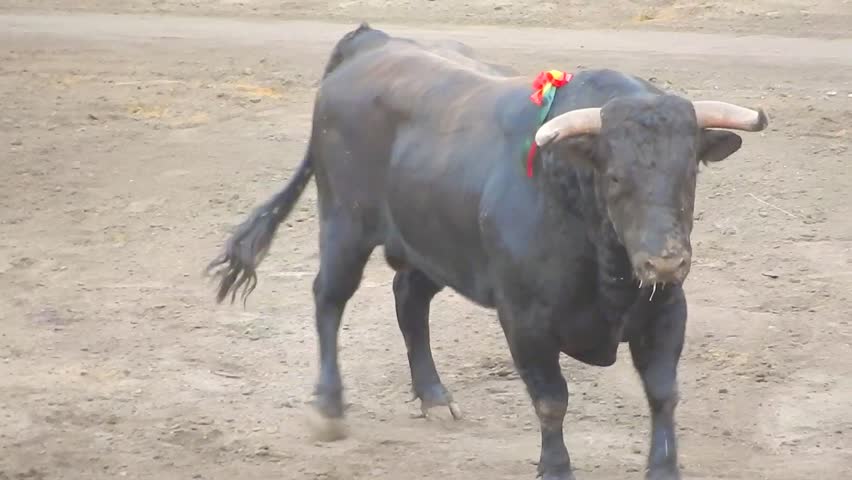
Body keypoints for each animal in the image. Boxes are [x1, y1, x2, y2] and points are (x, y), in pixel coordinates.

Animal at [207, 23, 768, 480]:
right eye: (613, 176)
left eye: (689, 171)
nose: (664, 260)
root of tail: (372, 42)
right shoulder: (525, 321)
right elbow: (551, 401)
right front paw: (555, 468)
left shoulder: (667, 309)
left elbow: (662, 392)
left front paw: (664, 469)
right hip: (344, 223)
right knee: (329, 297)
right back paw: (328, 407)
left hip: (431, 242)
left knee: (409, 299)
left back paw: (434, 398)